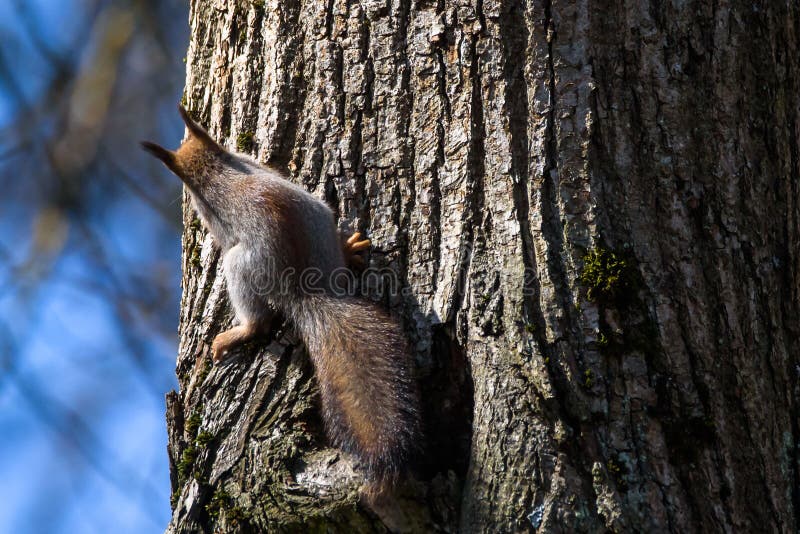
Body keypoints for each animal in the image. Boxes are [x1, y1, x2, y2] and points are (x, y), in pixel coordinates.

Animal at [142, 106, 421, 488]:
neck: (214, 169)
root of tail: (306, 290)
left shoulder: (215, 212)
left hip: (240, 268)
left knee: (258, 322)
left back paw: (234, 335)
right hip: (319, 215)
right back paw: (349, 250)